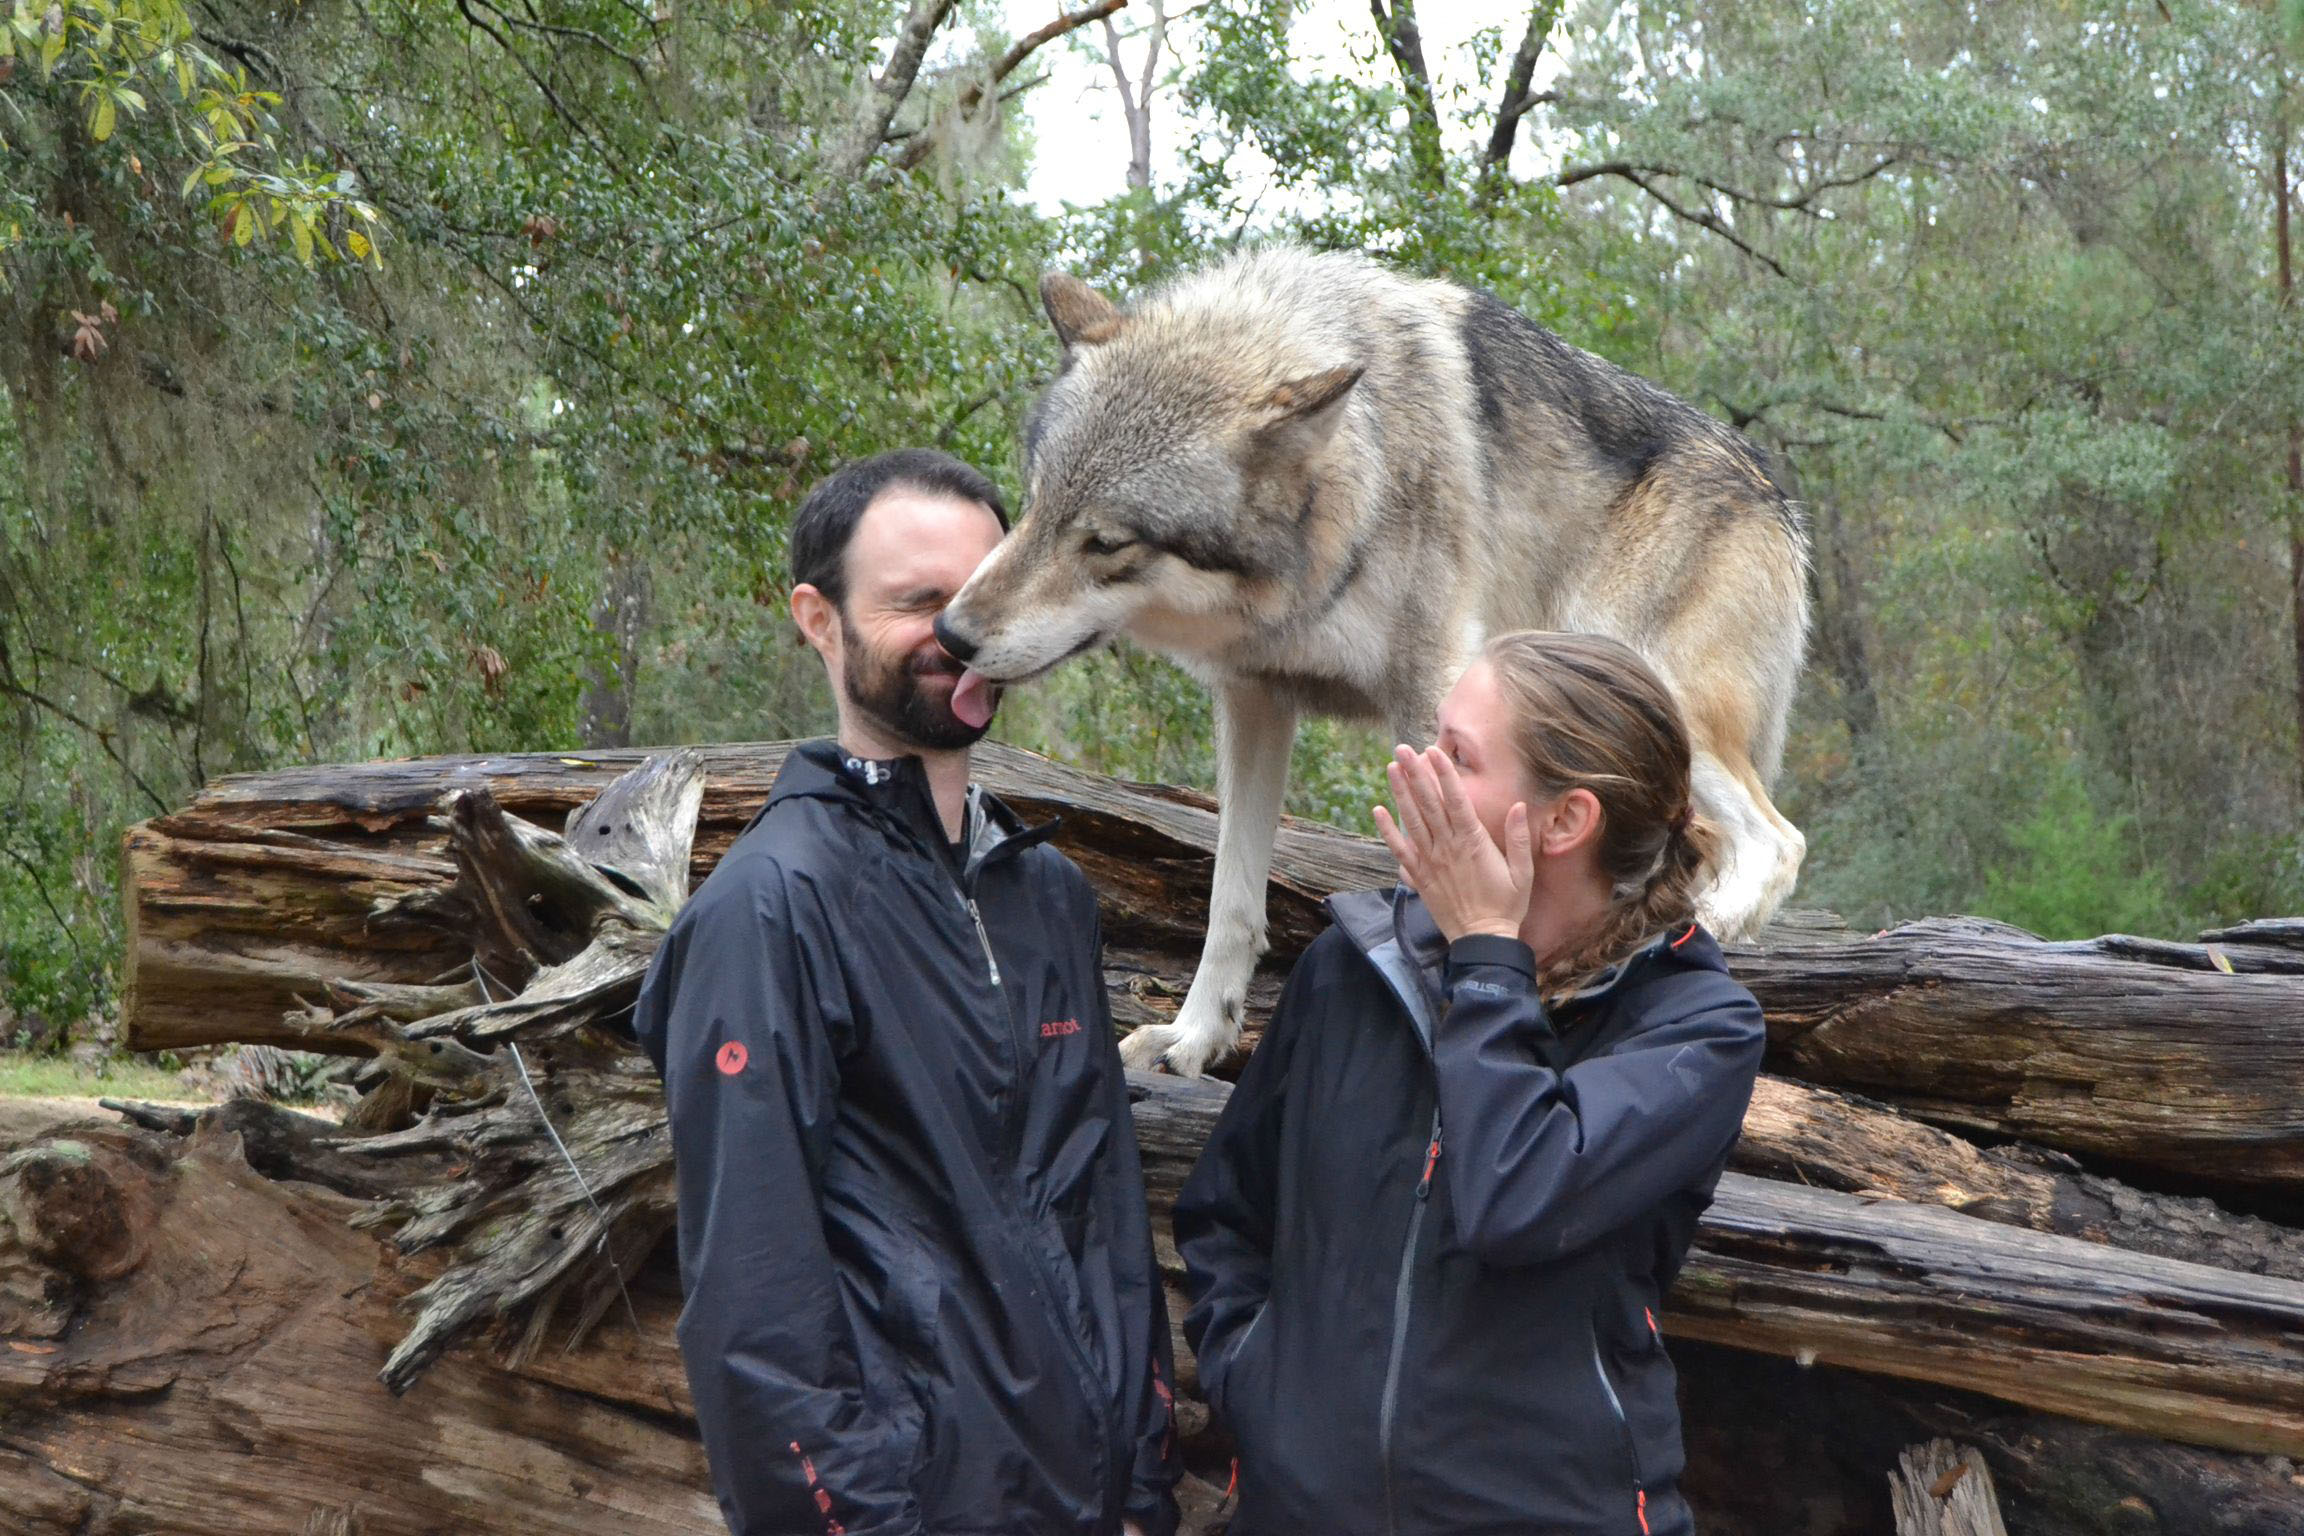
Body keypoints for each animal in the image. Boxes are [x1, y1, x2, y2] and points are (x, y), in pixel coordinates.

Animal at [934, 246, 1809, 1077]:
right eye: (1036, 504)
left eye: (1106, 542)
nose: (950, 633)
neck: (1351, 497)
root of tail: (1774, 490)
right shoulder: (1255, 696)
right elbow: (1231, 900)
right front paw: (1195, 1038)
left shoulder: (1432, 699)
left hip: (1632, 683)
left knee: (1779, 841)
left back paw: (1699, 930)